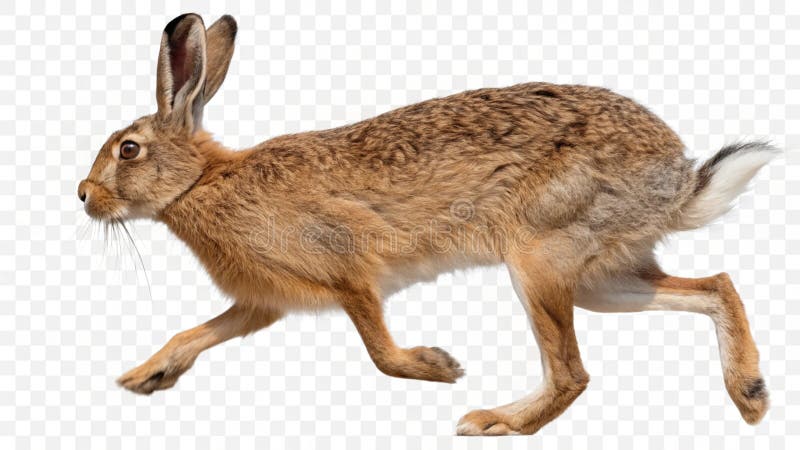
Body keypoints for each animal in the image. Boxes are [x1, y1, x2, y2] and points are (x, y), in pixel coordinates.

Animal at [78, 13, 777, 435]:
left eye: (128, 150)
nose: (83, 196)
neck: (201, 180)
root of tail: (674, 180)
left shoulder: (347, 271)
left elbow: (380, 351)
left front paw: (438, 366)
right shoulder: (263, 303)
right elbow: (196, 332)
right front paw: (144, 377)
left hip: (541, 259)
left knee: (572, 373)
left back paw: (496, 421)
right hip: (599, 278)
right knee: (715, 285)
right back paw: (750, 394)